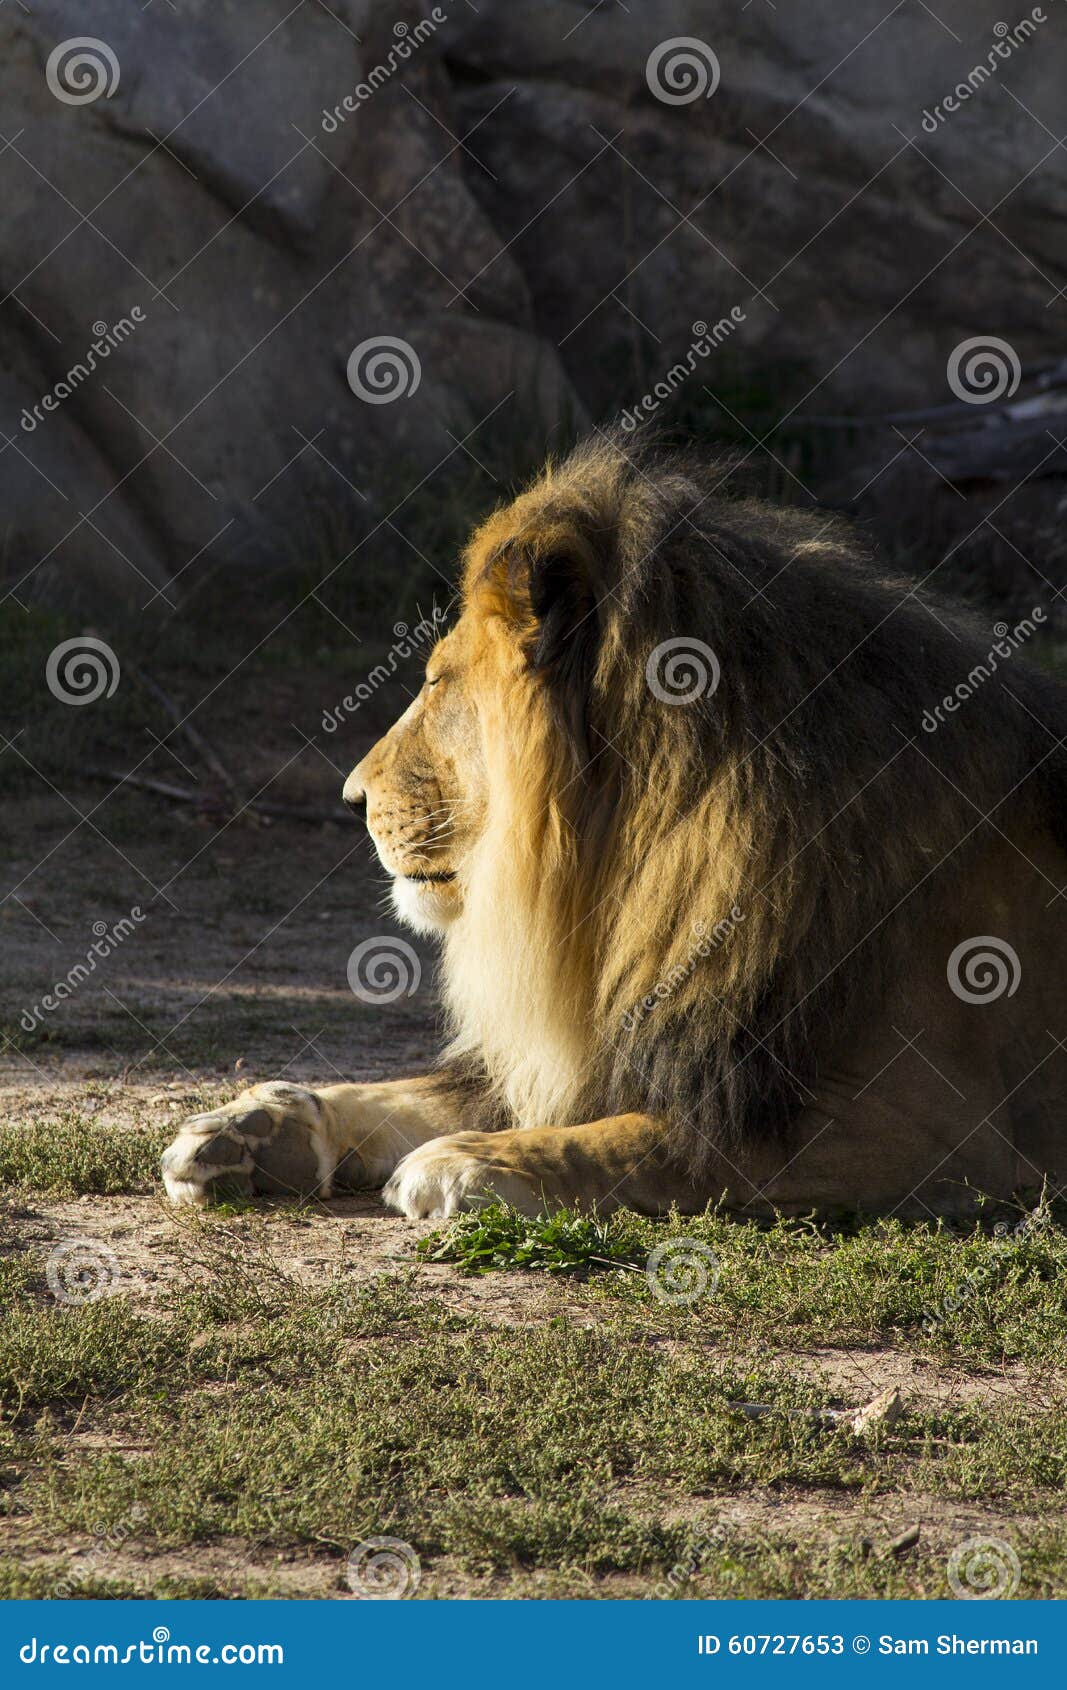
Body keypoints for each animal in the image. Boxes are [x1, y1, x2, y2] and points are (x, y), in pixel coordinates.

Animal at [161, 436, 1067, 1220]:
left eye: (439, 682)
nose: (349, 798)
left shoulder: (940, 1131)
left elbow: (654, 1141)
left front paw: (472, 1161)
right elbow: (424, 1089)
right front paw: (253, 1128)